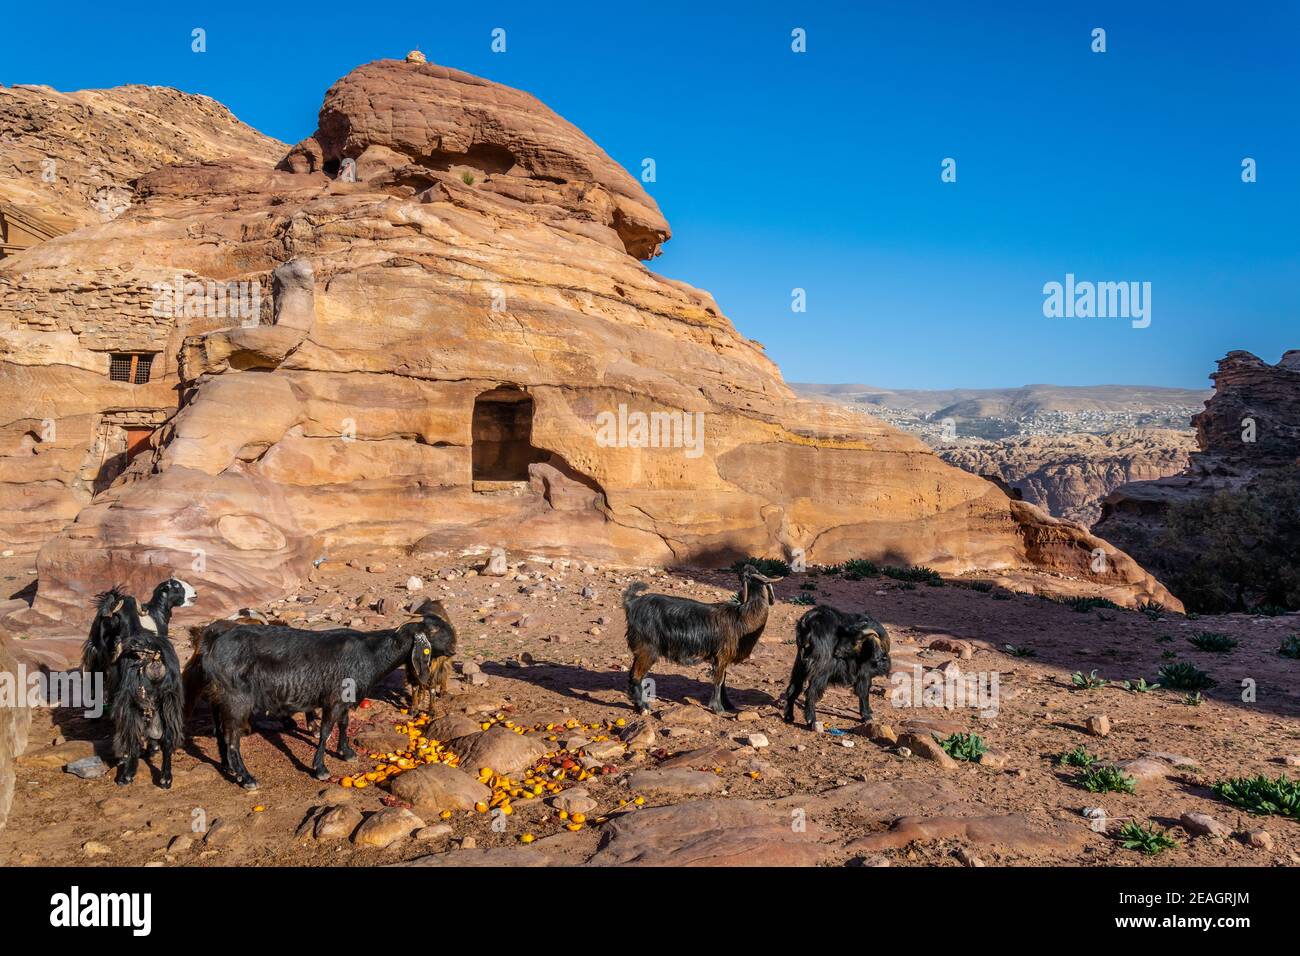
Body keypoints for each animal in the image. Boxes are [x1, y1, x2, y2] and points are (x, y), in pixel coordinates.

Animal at [85, 587, 186, 787]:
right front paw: (153, 749)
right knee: (167, 738)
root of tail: (154, 660)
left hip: (132, 703)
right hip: (169, 701)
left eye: (105, 618)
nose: (94, 641)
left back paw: (126, 776)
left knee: (133, 737)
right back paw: (165, 778)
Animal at [189, 609, 454, 789]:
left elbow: (344, 724)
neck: (372, 654)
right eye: (434, 631)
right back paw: (246, 777)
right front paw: (321, 768)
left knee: (221, 733)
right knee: (232, 738)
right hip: (237, 700)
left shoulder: (346, 700)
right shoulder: (334, 699)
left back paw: (227, 767)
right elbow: (326, 730)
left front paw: (346, 752)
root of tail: (211, 644)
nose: (453, 648)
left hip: (220, 700)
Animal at [623, 564, 781, 715]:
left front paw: (728, 705)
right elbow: (718, 681)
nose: (747, 567)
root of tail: (632, 603)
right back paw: (643, 707)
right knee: (636, 677)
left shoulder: (723, 659)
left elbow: (723, 681)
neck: (742, 618)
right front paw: (718, 708)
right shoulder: (721, 655)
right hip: (647, 649)